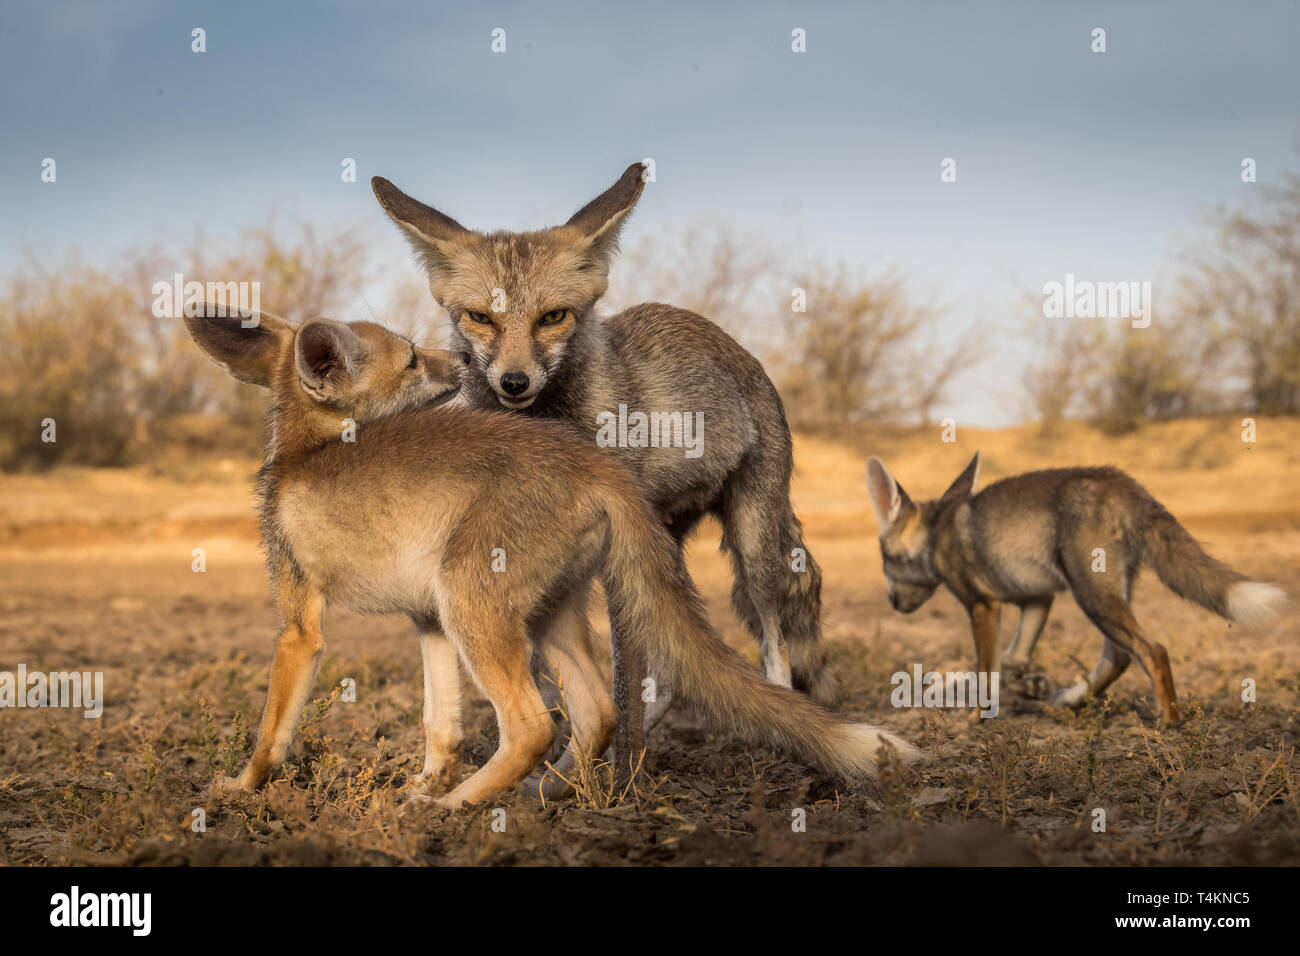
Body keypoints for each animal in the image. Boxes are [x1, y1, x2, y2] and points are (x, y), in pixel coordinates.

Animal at [184, 303, 918, 807]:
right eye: (414, 359)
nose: (463, 364)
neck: (305, 453)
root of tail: (595, 463)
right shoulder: (427, 621)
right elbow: (440, 728)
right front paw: (421, 785)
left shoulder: (301, 625)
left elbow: (271, 734)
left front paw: (241, 788)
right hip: (540, 615)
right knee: (599, 713)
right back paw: (528, 795)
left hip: (478, 603)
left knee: (536, 725)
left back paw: (462, 808)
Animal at [371, 162, 836, 775]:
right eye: (480, 318)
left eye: (552, 317)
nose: (514, 383)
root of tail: (734, 346)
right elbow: (549, 680)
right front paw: (555, 763)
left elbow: (617, 684)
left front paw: (618, 778)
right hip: (664, 543)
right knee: (674, 671)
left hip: (753, 546)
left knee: (771, 642)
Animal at [865, 452, 1286, 724]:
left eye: (883, 558)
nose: (893, 603)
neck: (938, 531)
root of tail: (1127, 484)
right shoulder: (1037, 598)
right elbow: (1013, 660)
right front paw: (1030, 686)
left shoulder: (983, 605)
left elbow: (988, 670)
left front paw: (977, 718)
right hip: (1107, 592)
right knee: (1118, 657)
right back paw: (1071, 700)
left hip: (1091, 595)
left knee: (1152, 651)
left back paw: (1169, 724)